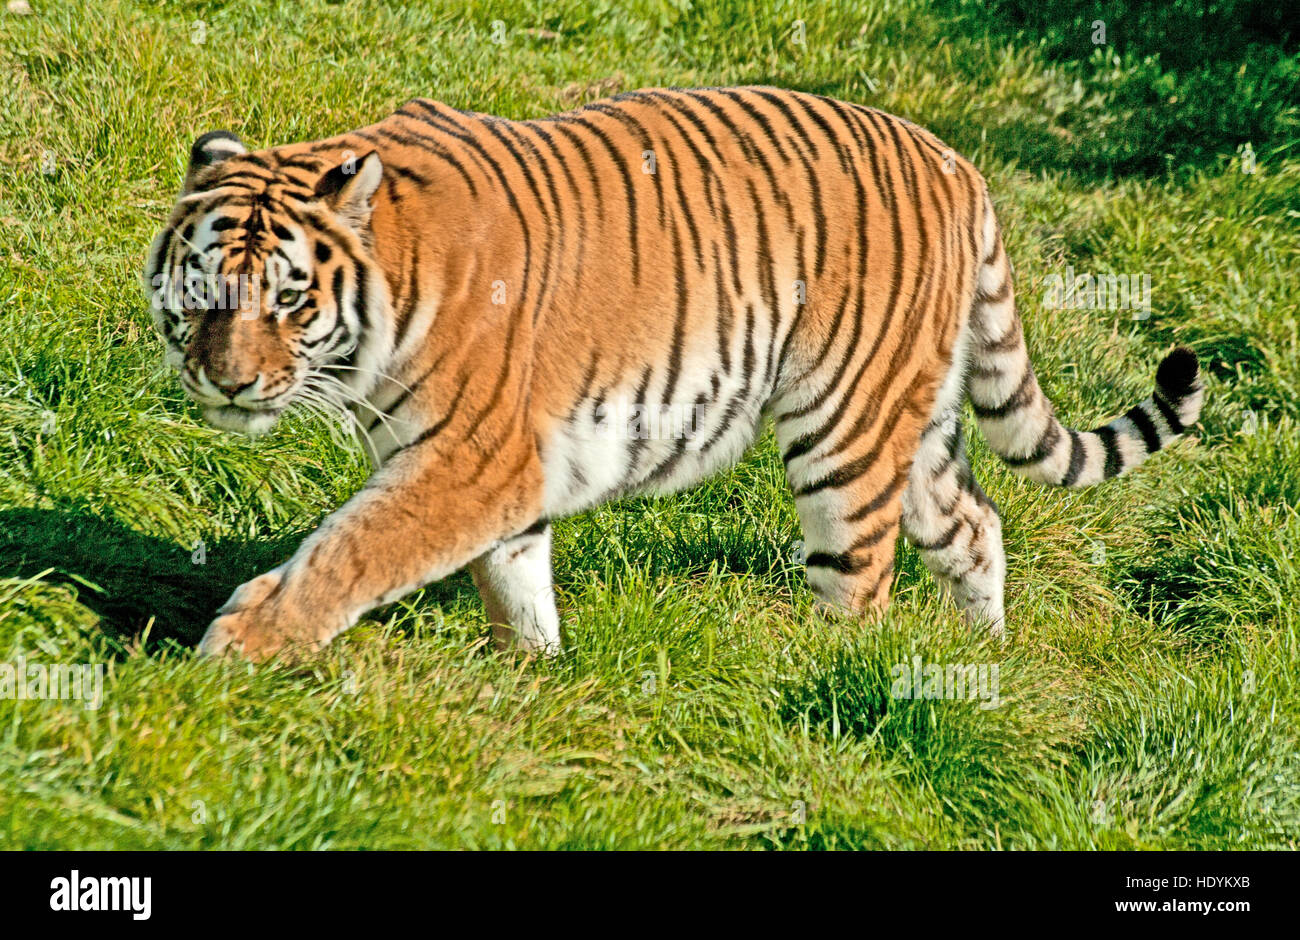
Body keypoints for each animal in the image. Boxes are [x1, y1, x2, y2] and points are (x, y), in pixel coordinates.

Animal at [143, 87, 1204, 661]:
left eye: (289, 300)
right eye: (203, 290)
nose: (226, 383)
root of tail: (958, 164)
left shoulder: (472, 460)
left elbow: (350, 551)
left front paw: (238, 647)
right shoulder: (499, 471)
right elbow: (514, 573)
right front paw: (532, 672)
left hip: (845, 428)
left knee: (860, 585)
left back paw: (827, 692)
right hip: (923, 420)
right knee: (976, 526)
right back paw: (984, 660)